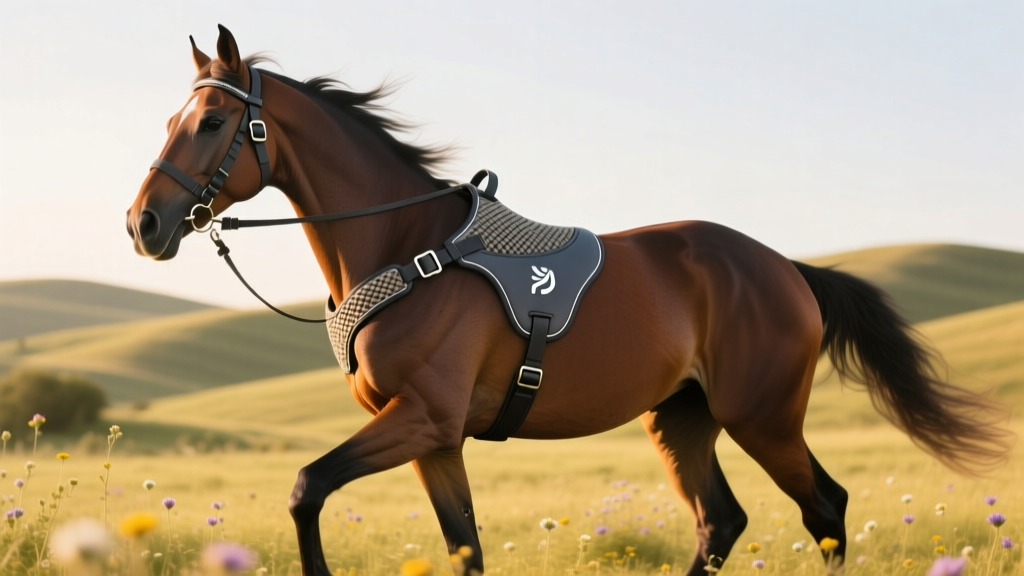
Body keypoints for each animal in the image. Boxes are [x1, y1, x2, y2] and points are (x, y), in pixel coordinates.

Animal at [126, 25, 1012, 576]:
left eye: (211, 122)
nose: (144, 224)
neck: (411, 248)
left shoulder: (422, 420)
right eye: (172, 118)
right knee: (722, 521)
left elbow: (306, 488)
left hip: (762, 417)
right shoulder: (436, 443)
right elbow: (466, 549)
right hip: (681, 421)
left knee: (825, 509)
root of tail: (788, 269)